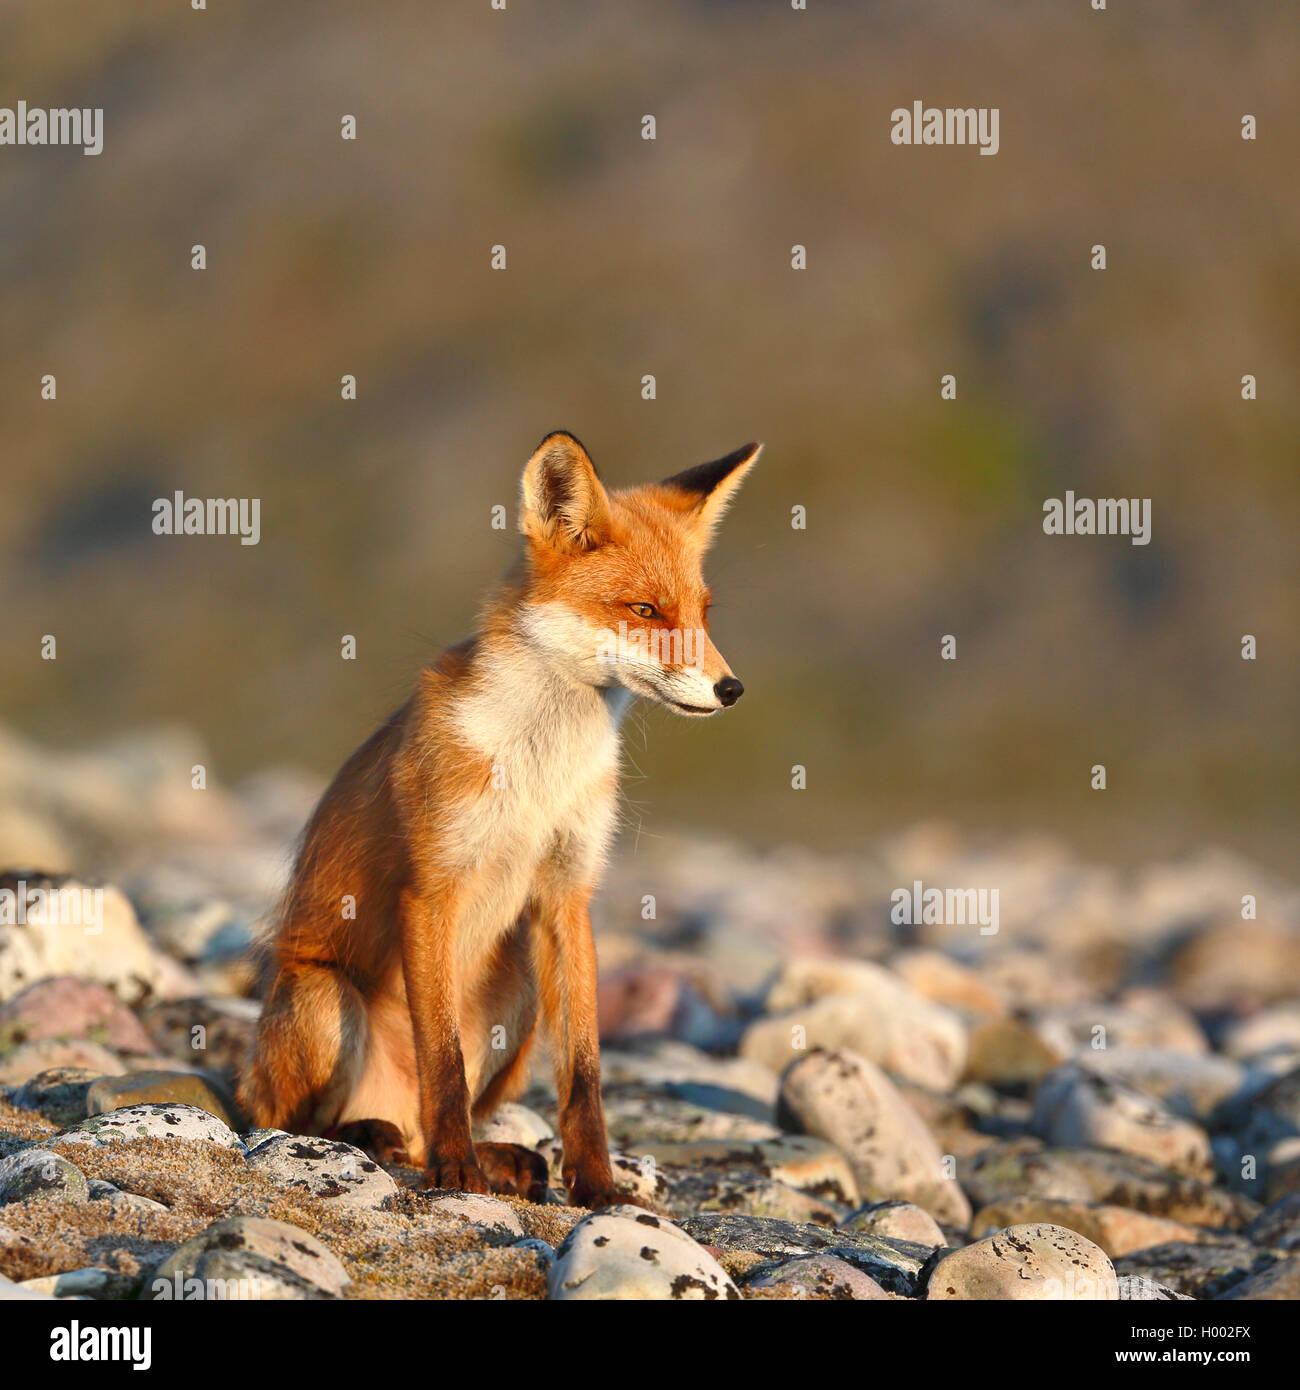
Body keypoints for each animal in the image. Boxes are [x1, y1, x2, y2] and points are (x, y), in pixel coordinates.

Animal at [238, 430, 759, 1208]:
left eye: (702, 612)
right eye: (644, 610)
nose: (732, 689)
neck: (539, 770)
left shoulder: (568, 893)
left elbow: (585, 1076)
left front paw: (598, 1187)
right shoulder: (432, 889)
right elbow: (444, 1060)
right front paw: (456, 1174)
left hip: (519, 997)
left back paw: (492, 1158)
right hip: (324, 999)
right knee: (296, 1124)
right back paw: (381, 1140)